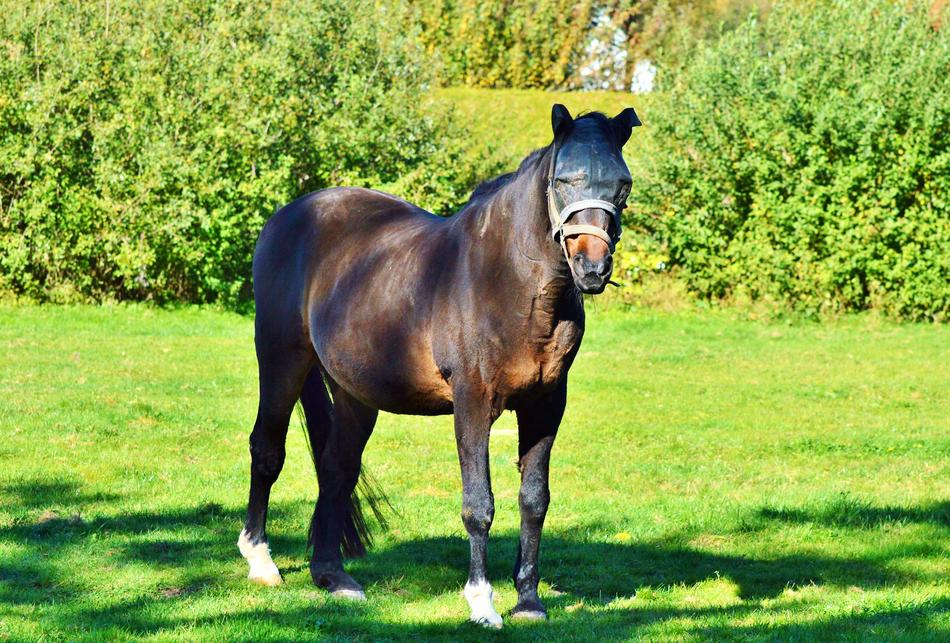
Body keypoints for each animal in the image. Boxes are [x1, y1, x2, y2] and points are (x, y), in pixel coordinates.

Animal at [238, 104, 641, 628]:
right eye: (562, 180)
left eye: (622, 184)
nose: (592, 268)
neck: (510, 282)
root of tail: (290, 215)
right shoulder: (473, 402)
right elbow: (479, 505)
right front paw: (483, 604)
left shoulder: (546, 406)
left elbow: (534, 500)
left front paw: (529, 602)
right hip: (282, 360)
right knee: (267, 451)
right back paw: (261, 561)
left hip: (354, 395)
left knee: (336, 469)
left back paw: (334, 577)